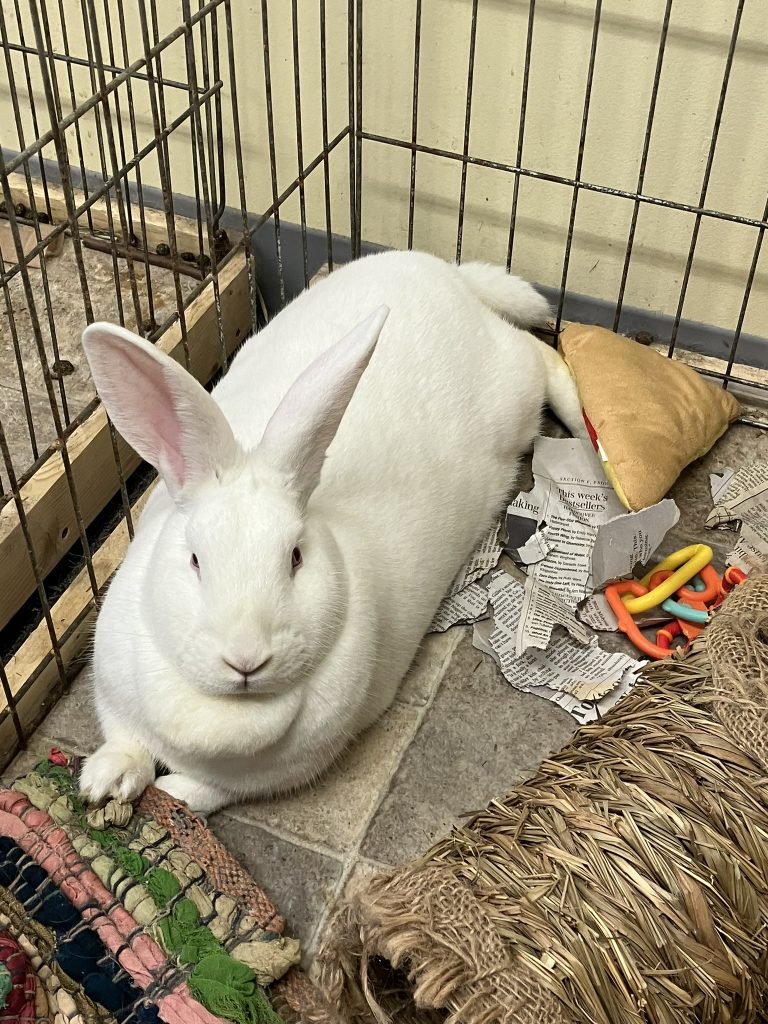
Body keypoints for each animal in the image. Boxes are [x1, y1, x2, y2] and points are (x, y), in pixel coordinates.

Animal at [78, 250, 585, 815]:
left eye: (296, 558)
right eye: (194, 561)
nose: (245, 659)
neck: (225, 712)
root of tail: (447, 273)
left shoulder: (264, 779)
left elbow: (206, 791)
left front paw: (169, 794)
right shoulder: (114, 696)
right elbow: (125, 740)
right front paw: (103, 782)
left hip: (514, 388)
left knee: (542, 354)